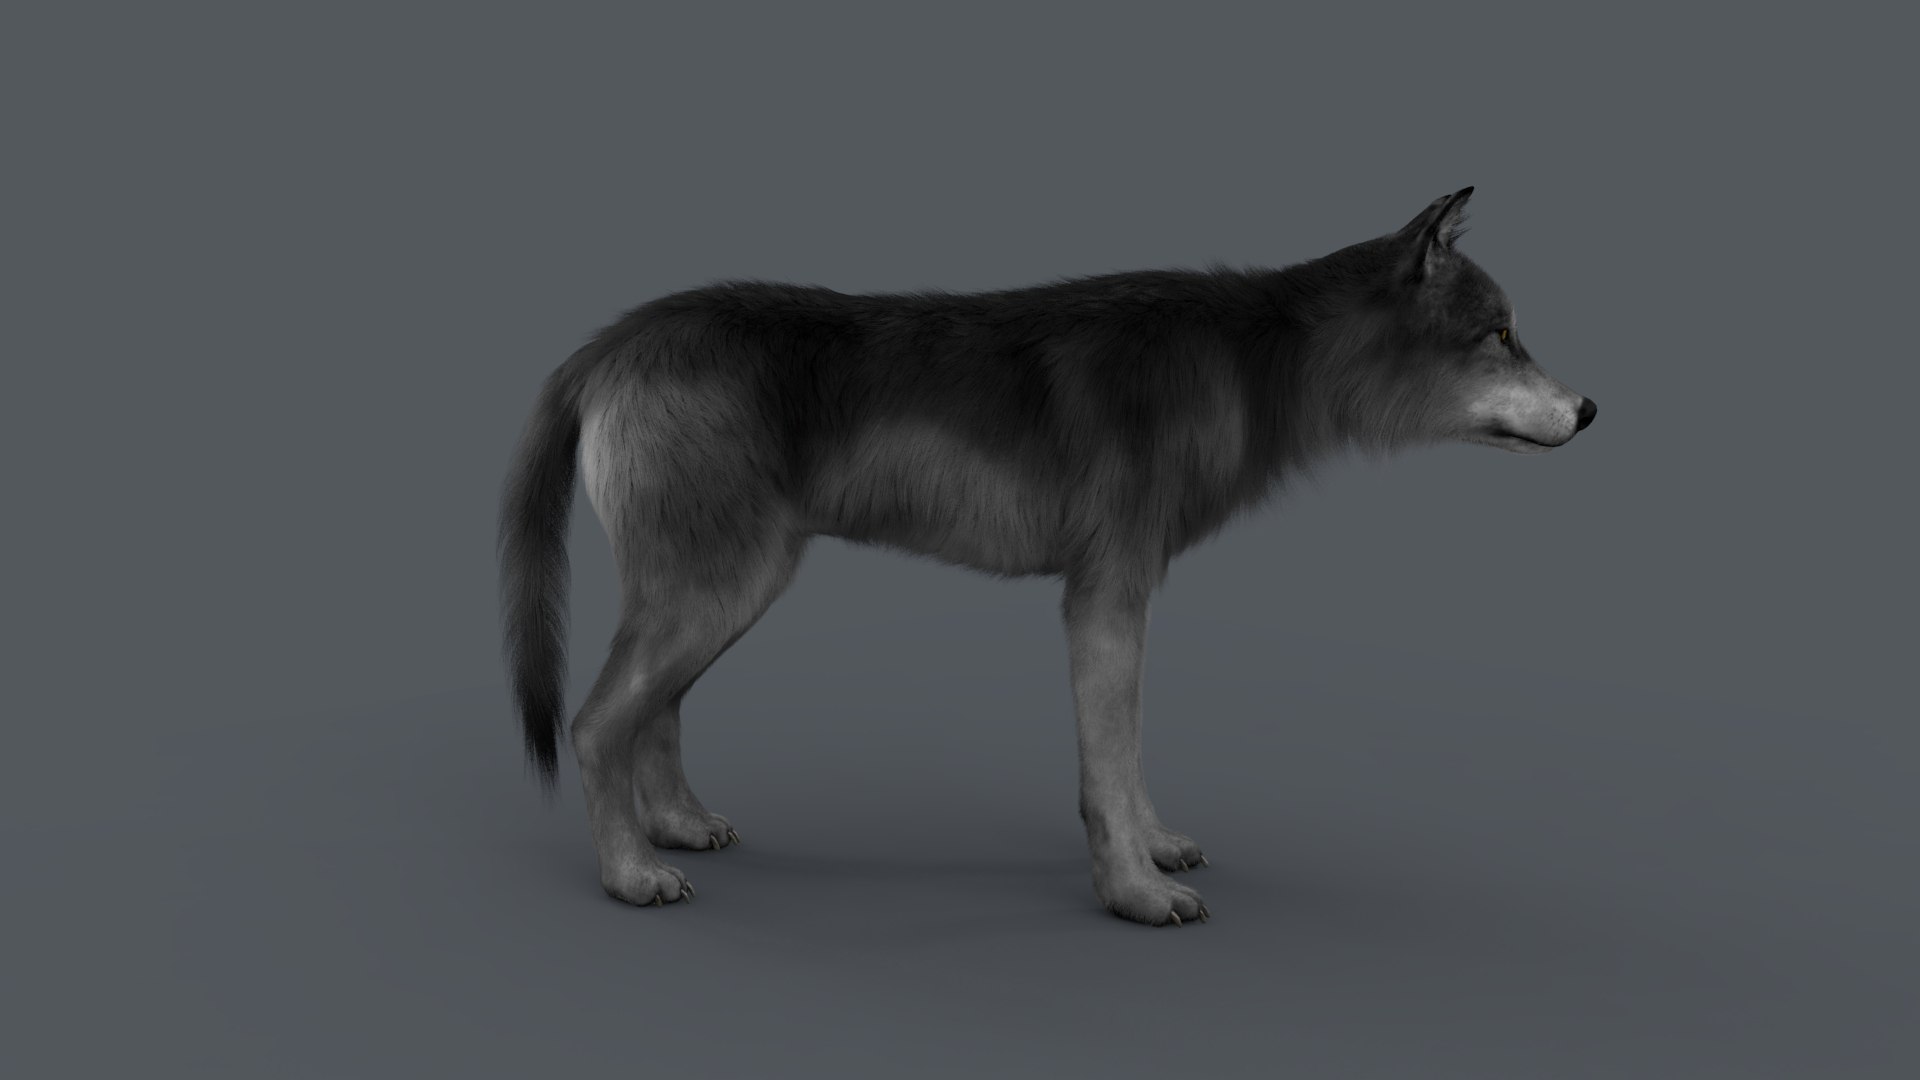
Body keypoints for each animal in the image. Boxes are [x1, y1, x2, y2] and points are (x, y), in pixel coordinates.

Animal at [498, 187, 1596, 925]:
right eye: (1502, 333)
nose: (1591, 409)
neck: (1251, 366)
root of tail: (606, 342)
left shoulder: (1126, 599)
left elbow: (1130, 760)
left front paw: (1156, 852)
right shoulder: (1104, 595)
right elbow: (1108, 763)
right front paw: (1135, 896)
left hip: (728, 593)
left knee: (656, 712)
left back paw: (679, 827)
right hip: (721, 590)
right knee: (598, 722)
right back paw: (632, 876)